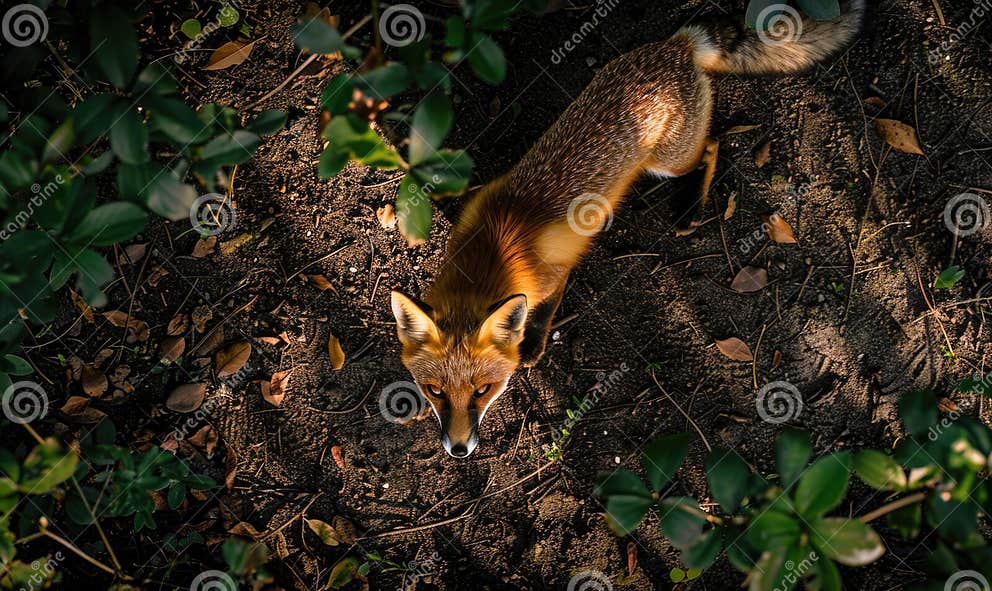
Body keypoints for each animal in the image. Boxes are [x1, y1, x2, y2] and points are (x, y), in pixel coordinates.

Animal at [391, 2, 866, 457]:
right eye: (435, 390)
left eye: (483, 390)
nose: (458, 449)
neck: (494, 248)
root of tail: (679, 45)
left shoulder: (556, 272)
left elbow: (544, 311)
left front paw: (533, 346)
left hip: (670, 160)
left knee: (713, 146)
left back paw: (692, 208)